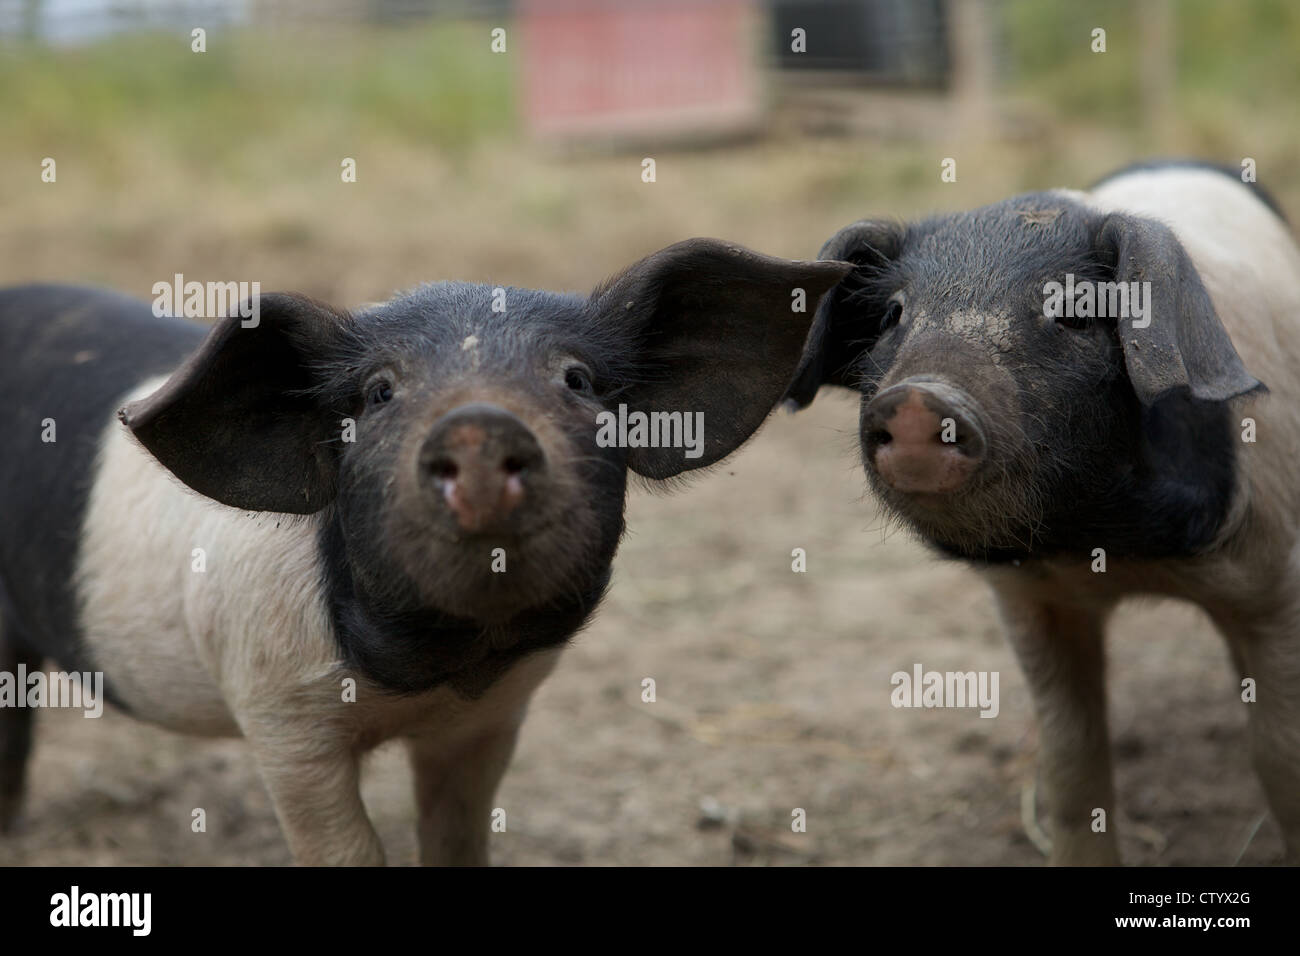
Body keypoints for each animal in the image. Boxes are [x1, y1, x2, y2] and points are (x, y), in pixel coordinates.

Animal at [0, 239, 850, 865]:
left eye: (577, 380)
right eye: (379, 393)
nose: (479, 426)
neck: (434, 669)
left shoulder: (492, 717)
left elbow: (457, 835)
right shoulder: (278, 711)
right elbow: (344, 848)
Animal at [785, 161, 1300, 865]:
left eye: (1073, 315)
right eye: (893, 315)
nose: (919, 398)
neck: (1102, 546)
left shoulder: (1276, 570)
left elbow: (1279, 757)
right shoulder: (1028, 599)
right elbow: (1070, 762)